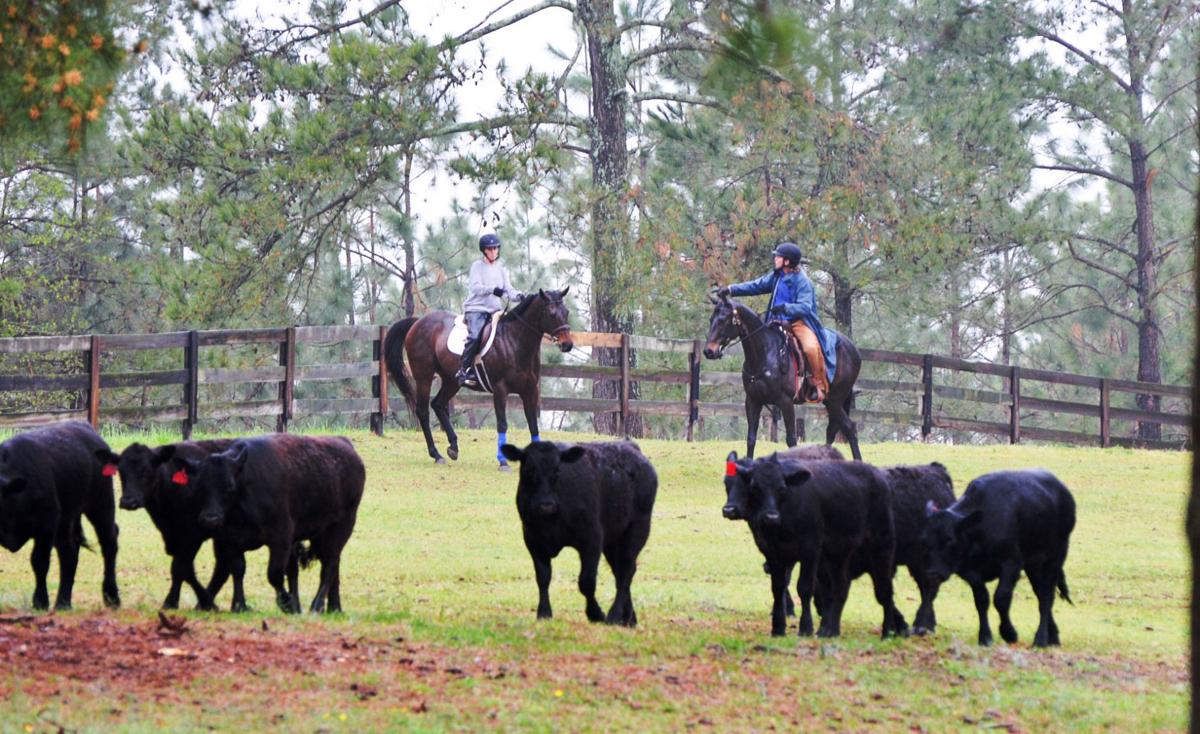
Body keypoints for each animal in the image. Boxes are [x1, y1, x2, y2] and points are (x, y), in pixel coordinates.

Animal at [0, 421, 120, 610]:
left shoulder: (46, 524)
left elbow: (39, 561)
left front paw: (40, 602)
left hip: (101, 503)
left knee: (109, 542)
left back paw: (111, 597)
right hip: (67, 518)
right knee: (69, 551)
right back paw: (63, 603)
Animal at [175, 433, 366, 614]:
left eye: (229, 486)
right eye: (199, 487)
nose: (210, 518)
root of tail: (345, 445)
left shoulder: (280, 538)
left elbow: (274, 574)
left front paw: (287, 604)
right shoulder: (231, 540)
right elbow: (238, 569)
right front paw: (239, 605)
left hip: (341, 528)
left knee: (329, 565)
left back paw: (316, 606)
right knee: (327, 567)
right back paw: (334, 607)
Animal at [499, 441, 657, 627]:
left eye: (557, 470)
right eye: (529, 470)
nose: (546, 505)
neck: (551, 520)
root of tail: (630, 445)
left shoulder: (592, 539)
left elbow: (586, 582)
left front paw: (596, 614)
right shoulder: (533, 540)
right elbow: (543, 577)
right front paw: (544, 612)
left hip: (638, 528)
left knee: (627, 571)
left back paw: (614, 615)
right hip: (613, 541)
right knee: (619, 572)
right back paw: (629, 618)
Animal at [732, 454, 905, 638]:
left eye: (782, 487)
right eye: (754, 488)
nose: (770, 517)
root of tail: (879, 476)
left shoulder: (810, 549)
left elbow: (805, 587)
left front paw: (805, 627)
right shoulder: (772, 552)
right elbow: (778, 588)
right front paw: (778, 628)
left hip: (882, 547)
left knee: (885, 590)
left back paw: (887, 632)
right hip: (838, 554)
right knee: (840, 587)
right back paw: (830, 630)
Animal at [922, 469, 1075, 647]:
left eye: (950, 539)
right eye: (925, 540)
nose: (932, 573)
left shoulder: (1011, 564)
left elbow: (1001, 598)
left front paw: (1009, 633)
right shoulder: (970, 572)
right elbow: (982, 600)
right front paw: (985, 637)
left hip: (1056, 556)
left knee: (1046, 596)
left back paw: (1041, 639)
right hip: (1034, 564)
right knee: (1040, 592)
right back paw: (1054, 637)